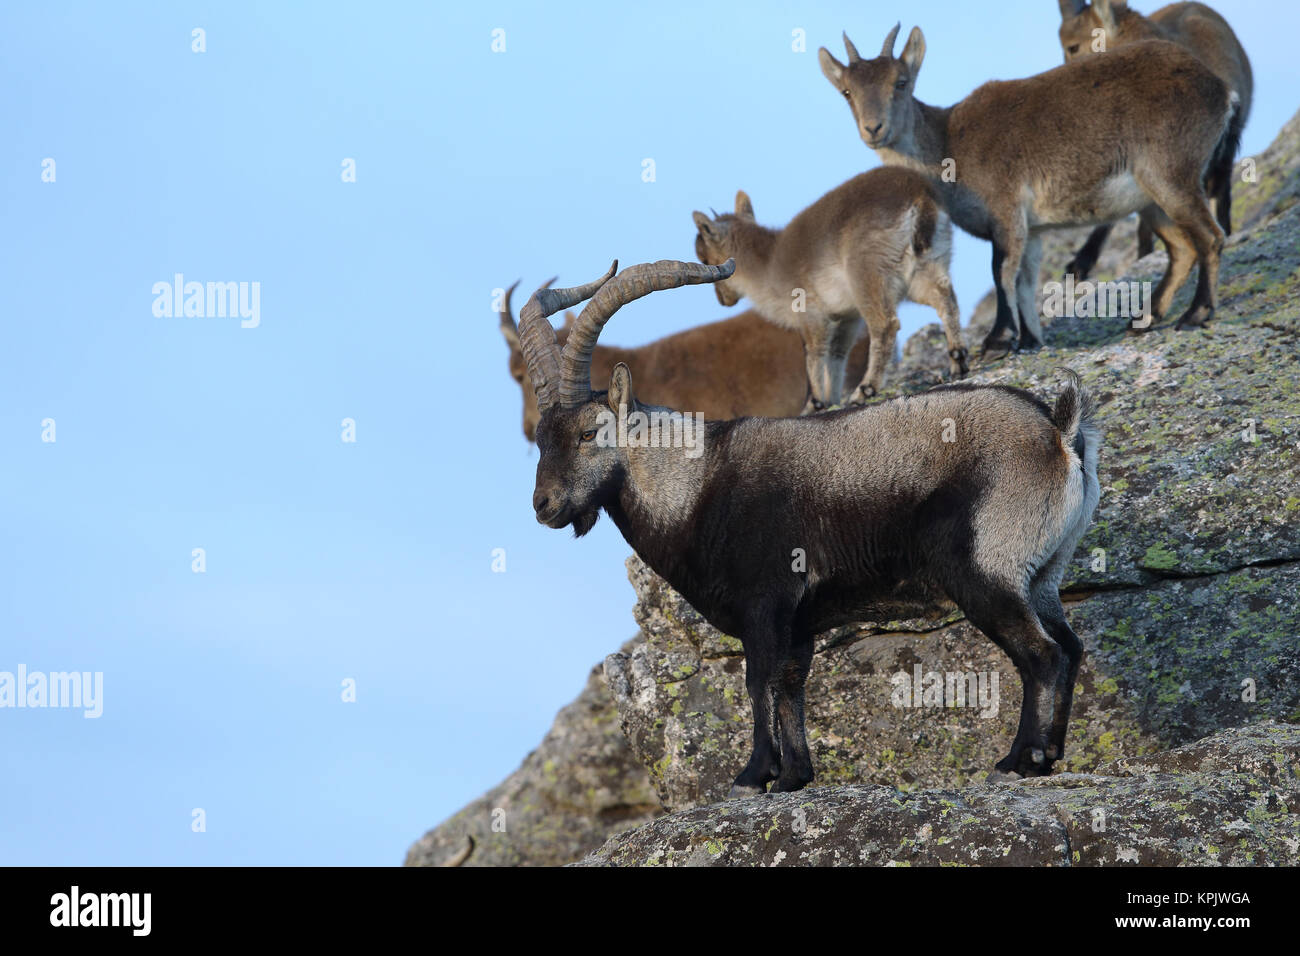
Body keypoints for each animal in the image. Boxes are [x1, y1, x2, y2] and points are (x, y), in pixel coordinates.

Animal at [692, 167, 967, 410]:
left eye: (704, 258)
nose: (723, 300)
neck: (768, 265)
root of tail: (918, 195)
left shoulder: (809, 311)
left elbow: (813, 354)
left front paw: (815, 404)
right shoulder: (847, 316)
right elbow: (837, 354)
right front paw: (833, 399)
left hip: (868, 274)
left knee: (885, 325)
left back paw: (865, 390)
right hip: (927, 267)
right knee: (947, 301)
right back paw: (959, 361)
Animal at [819, 24, 1239, 354]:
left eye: (900, 83)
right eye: (847, 92)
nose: (874, 128)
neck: (948, 144)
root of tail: (1220, 89)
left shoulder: (1005, 209)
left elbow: (1000, 270)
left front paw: (997, 341)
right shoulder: (1033, 228)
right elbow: (1024, 277)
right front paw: (1031, 340)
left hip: (1170, 174)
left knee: (1209, 236)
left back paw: (1196, 313)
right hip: (1152, 198)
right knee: (1183, 247)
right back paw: (1146, 319)